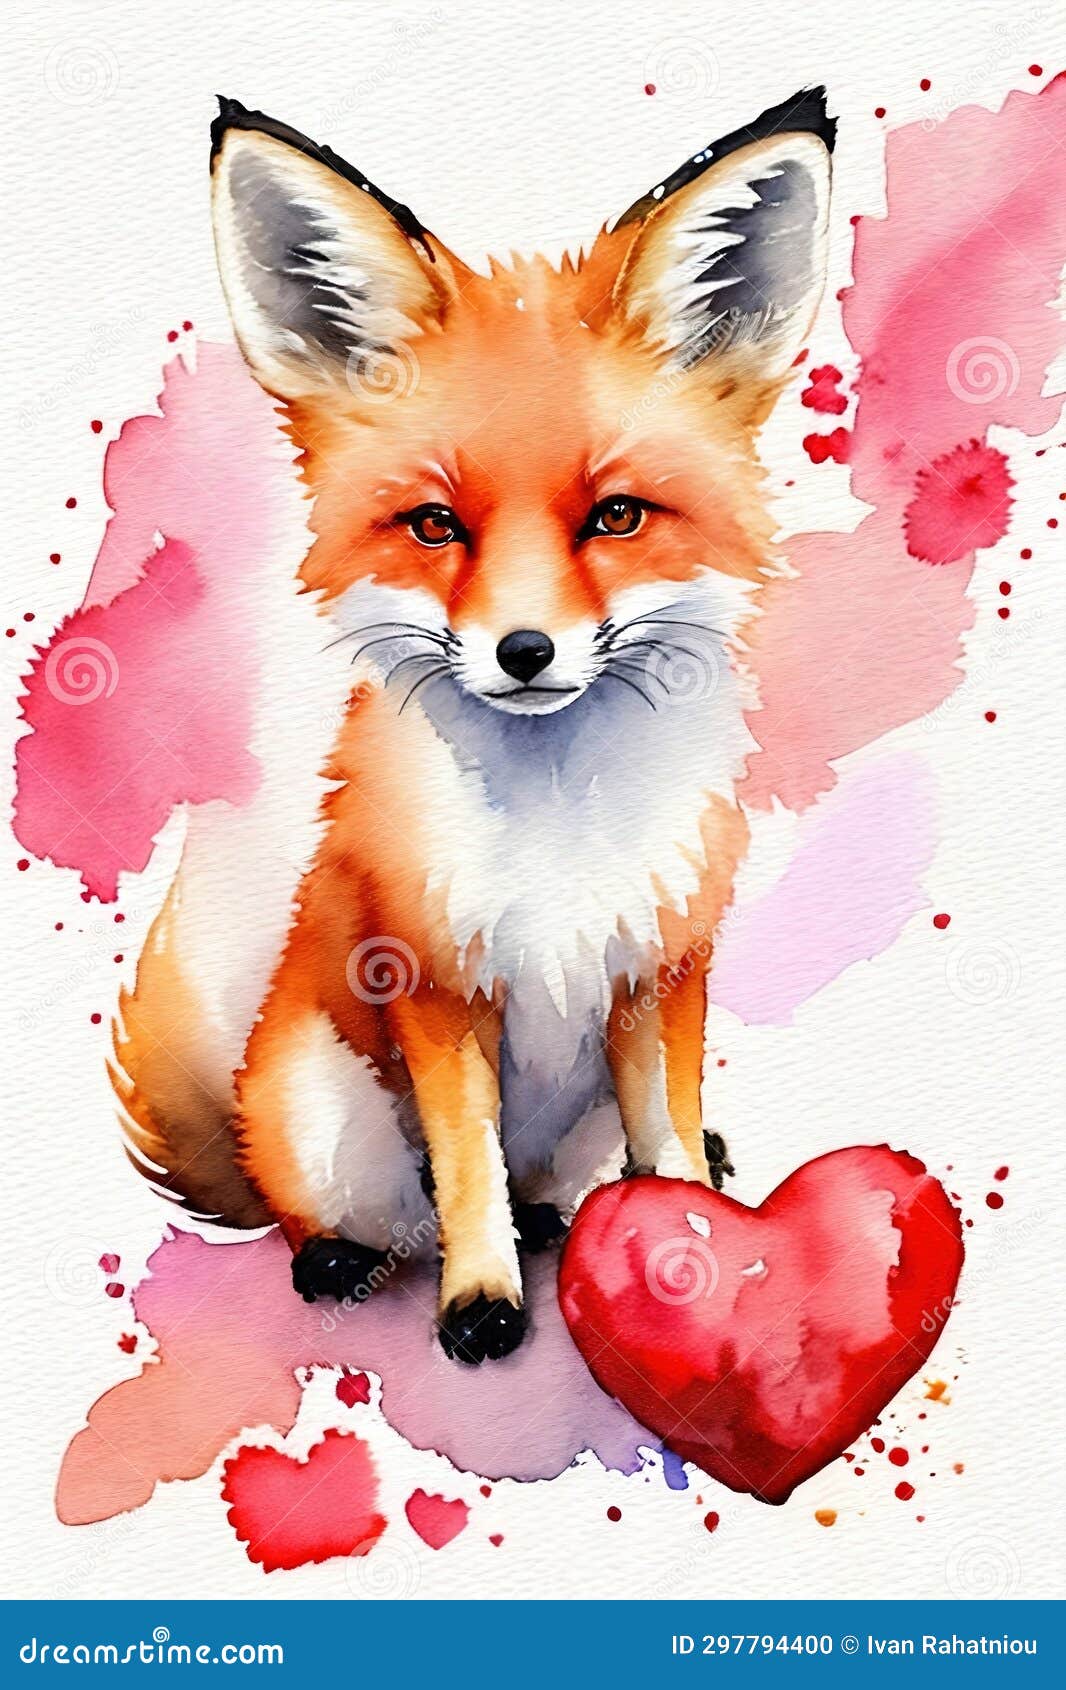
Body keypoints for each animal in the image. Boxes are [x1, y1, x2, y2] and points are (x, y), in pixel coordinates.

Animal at [112, 88, 834, 1364]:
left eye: (615, 516)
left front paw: (691, 1239)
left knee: (566, 1177)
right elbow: (465, 1172)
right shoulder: (434, 985)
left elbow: (667, 1139)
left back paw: (575, 1210)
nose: (525, 652)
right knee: (351, 1211)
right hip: (325, 1114)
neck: (560, 838)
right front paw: (482, 1300)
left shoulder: (660, 965)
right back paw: (346, 1259)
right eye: (435, 525)